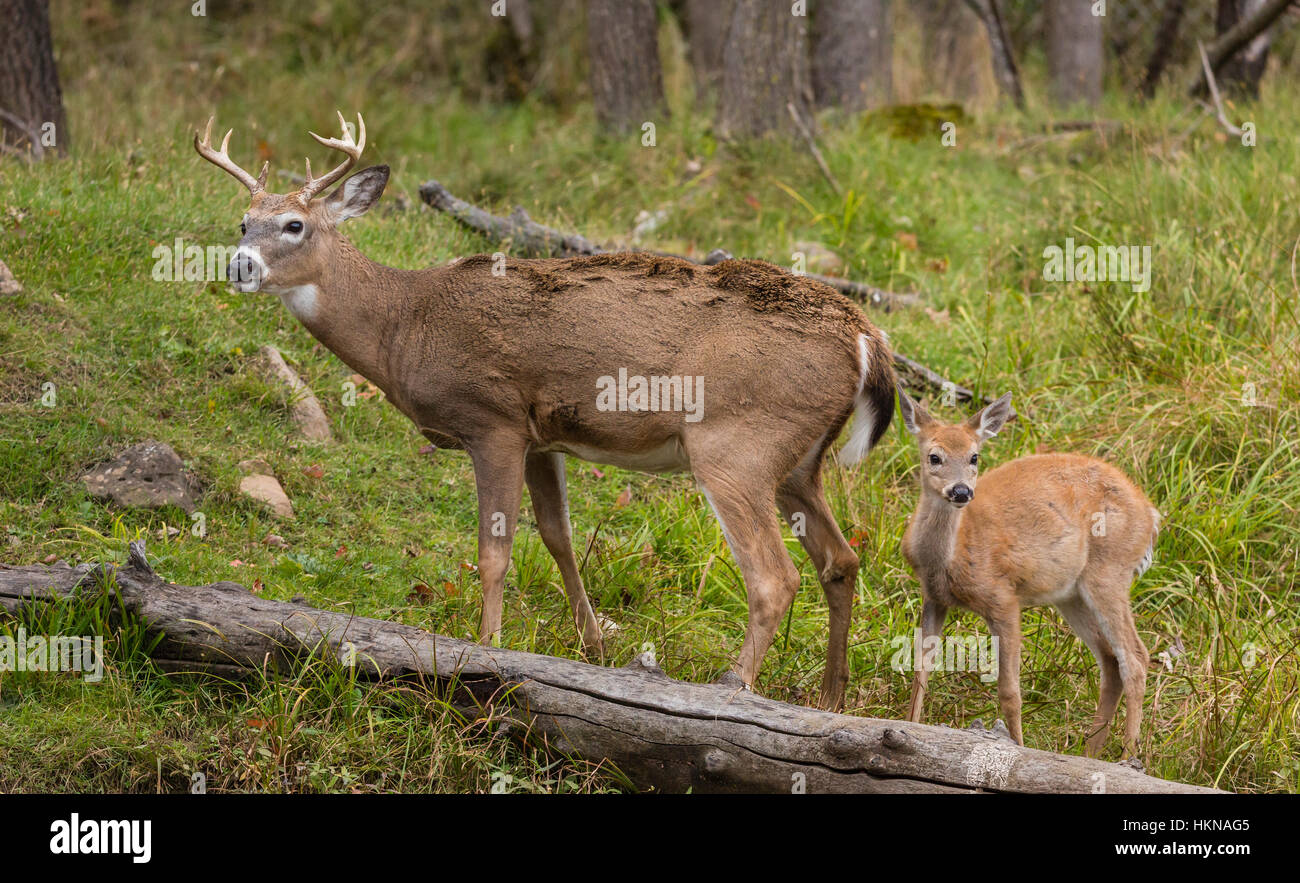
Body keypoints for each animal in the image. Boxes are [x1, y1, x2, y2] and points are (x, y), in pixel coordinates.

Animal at [193, 112, 897, 710]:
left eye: (295, 226)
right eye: (242, 222)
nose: (238, 265)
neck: (406, 325)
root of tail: (866, 338)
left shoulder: (493, 419)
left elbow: (494, 549)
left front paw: (488, 647)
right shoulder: (543, 437)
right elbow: (559, 538)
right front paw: (595, 646)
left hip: (736, 445)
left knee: (775, 577)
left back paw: (732, 686)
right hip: (800, 463)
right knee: (841, 562)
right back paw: (831, 699)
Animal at [897, 390, 1157, 757]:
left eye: (975, 456)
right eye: (934, 457)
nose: (961, 491)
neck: (952, 554)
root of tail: (1150, 514)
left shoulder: (1004, 597)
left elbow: (1009, 690)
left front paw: (1017, 746)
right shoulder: (934, 598)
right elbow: (921, 672)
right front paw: (911, 727)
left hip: (1110, 571)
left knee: (1135, 657)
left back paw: (1127, 757)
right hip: (1072, 595)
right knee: (1110, 661)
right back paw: (1090, 755)